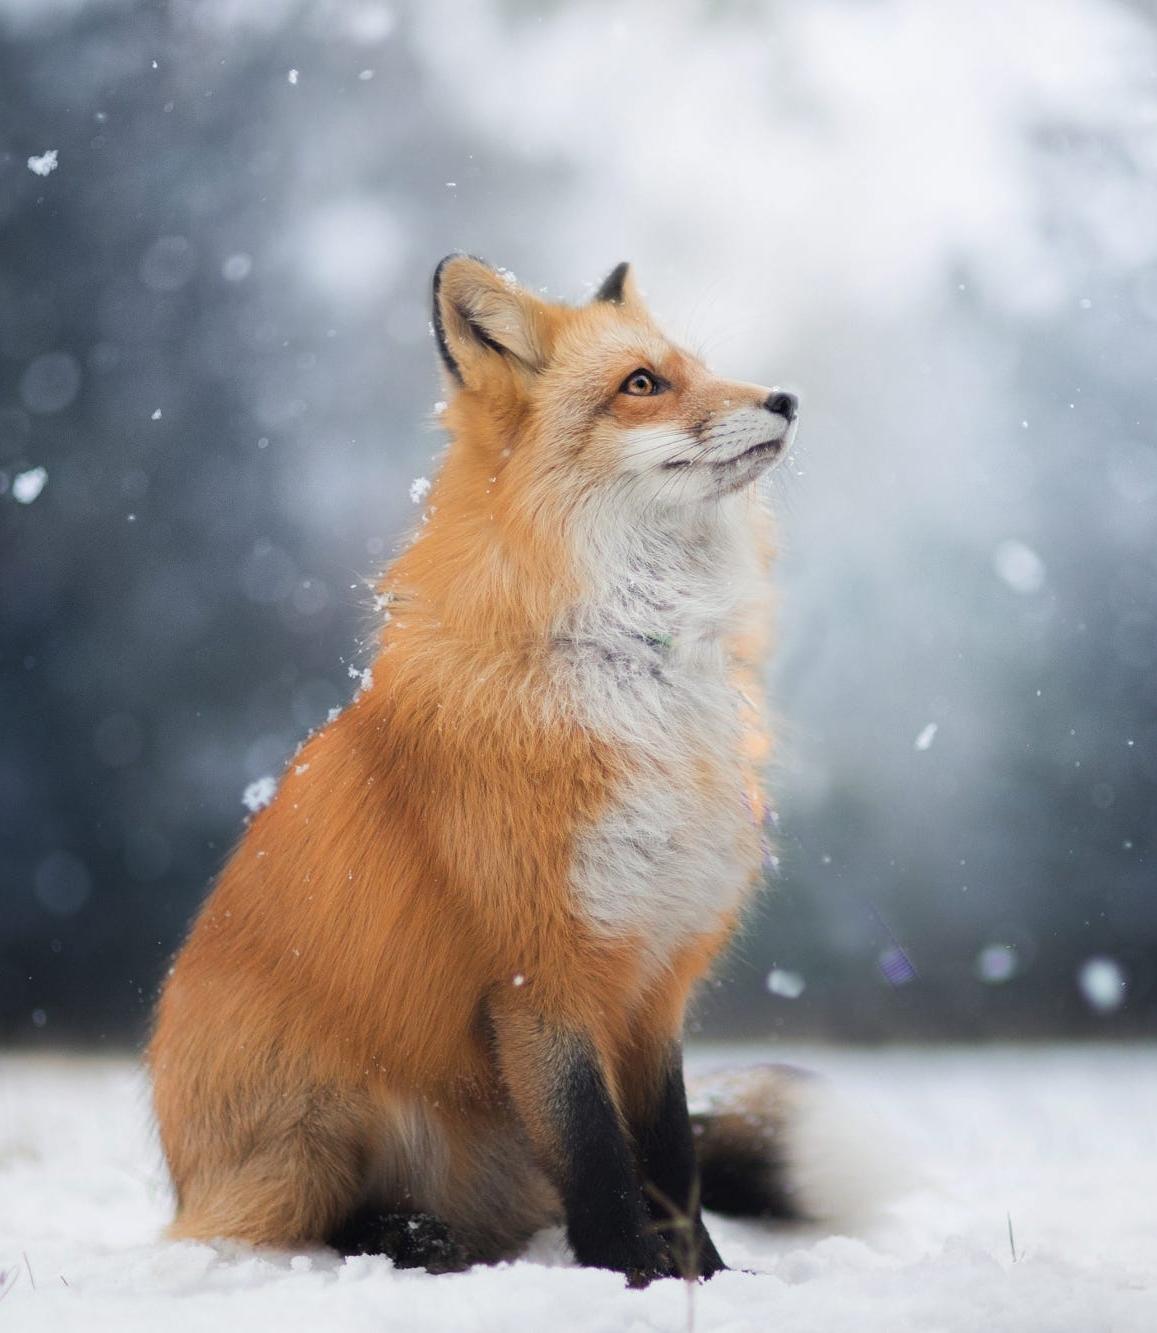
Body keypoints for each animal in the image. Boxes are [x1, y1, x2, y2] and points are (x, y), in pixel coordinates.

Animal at [149, 255, 812, 1286]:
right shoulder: (539, 975)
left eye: (698, 368)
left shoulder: (653, 978)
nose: (784, 398)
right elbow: (598, 1157)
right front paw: (630, 1279)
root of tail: (183, 1176)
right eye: (642, 384)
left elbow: (671, 1159)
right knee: (295, 1224)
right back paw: (407, 1237)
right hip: (317, 1127)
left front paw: (707, 1280)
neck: (635, 670)